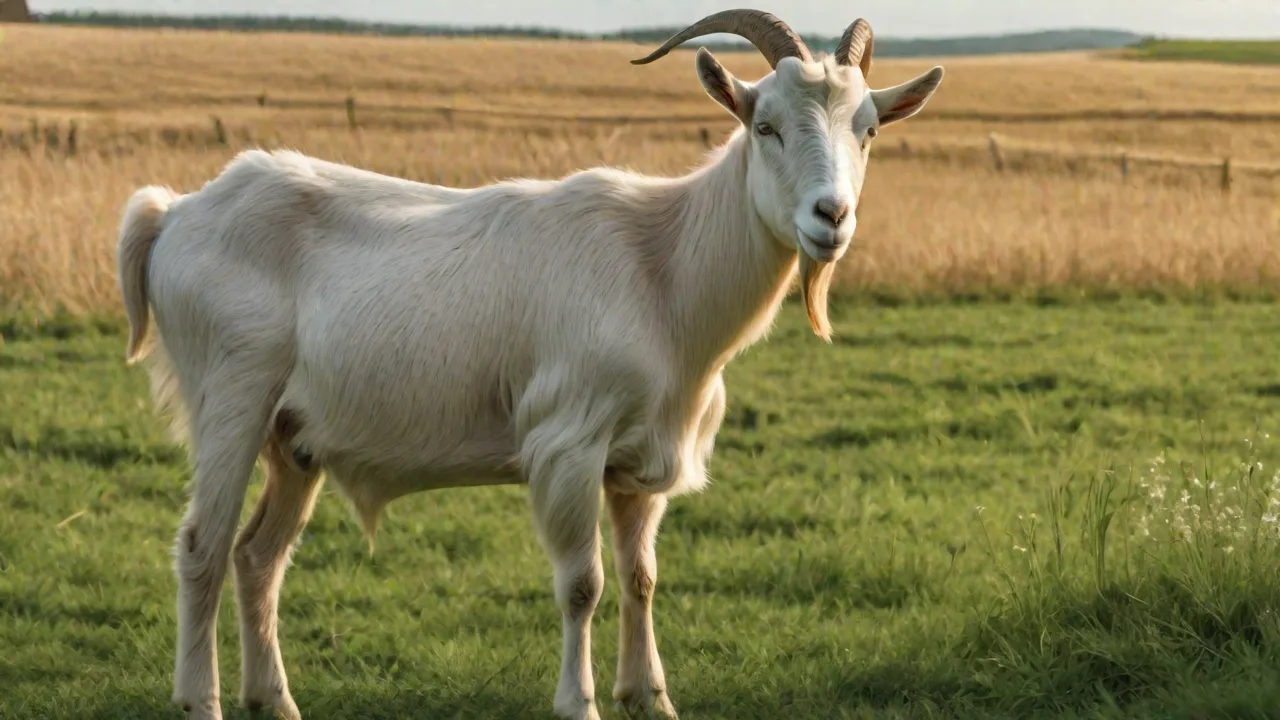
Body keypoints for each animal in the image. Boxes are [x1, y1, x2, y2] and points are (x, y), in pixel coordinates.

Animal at [116, 9, 944, 720]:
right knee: (203, 547)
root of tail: (174, 213)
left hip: (293, 439)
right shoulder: (568, 441)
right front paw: (579, 701)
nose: (830, 217)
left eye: (869, 129)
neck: (664, 268)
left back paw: (275, 699)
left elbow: (641, 578)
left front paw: (650, 696)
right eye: (765, 124)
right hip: (230, 398)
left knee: (259, 556)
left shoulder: (639, 463)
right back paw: (201, 700)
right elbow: (583, 583)